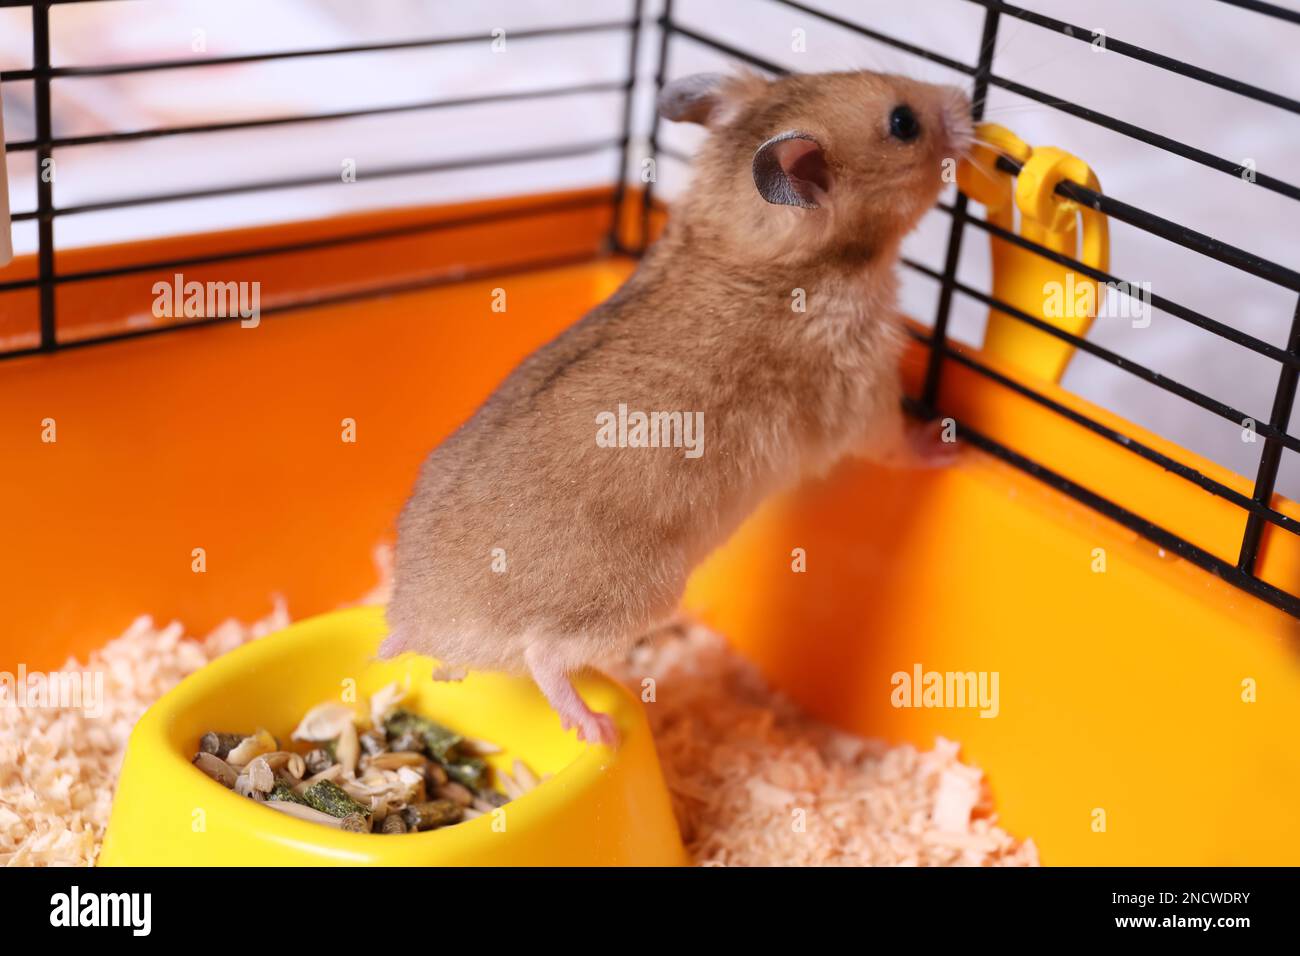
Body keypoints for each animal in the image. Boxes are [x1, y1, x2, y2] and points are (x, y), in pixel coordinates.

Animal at [382, 70, 973, 744]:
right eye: (904, 124)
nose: (965, 99)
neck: (742, 235)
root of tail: (414, 615)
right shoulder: (862, 390)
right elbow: (897, 442)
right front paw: (951, 445)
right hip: (635, 593)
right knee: (544, 654)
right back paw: (596, 729)